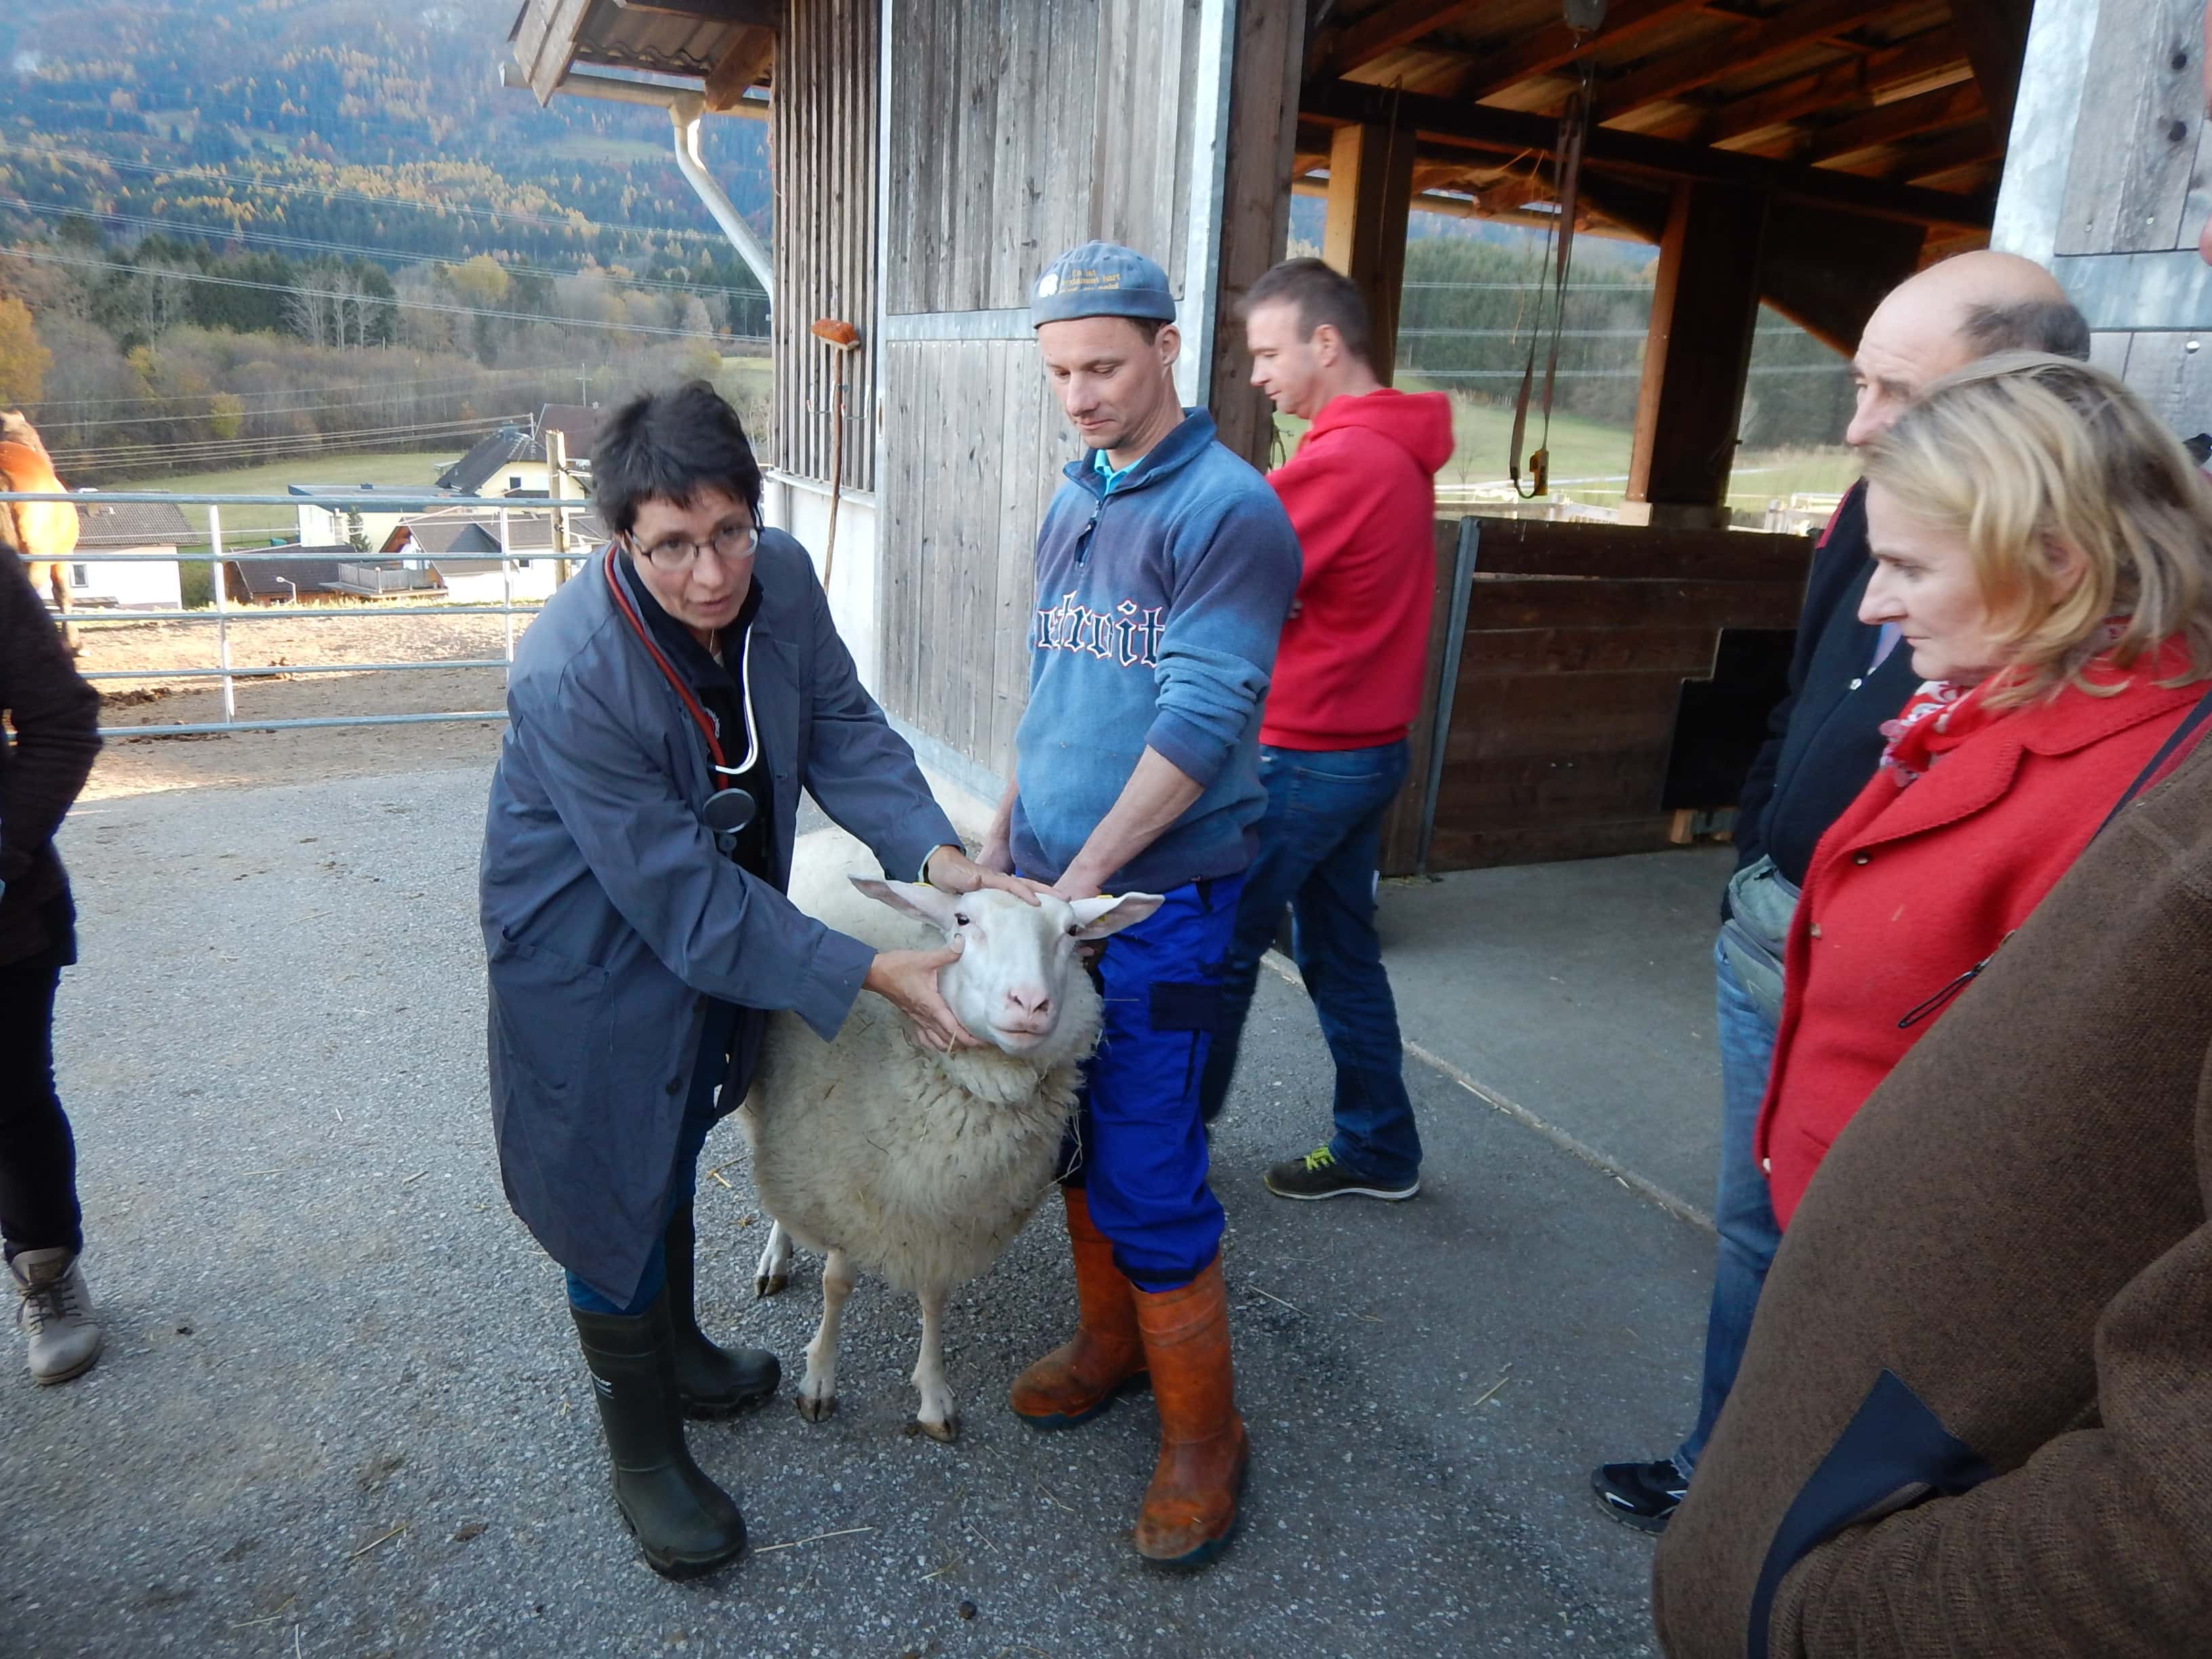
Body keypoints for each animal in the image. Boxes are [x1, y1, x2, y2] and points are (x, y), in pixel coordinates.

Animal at [739, 826, 1159, 1442]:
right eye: (962, 921)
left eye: (1072, 933)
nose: (1030, 1003)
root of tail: (827, 833)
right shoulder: (844, 1189)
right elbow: (837, 1285)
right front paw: (819, 1379)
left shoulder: (945, 1218)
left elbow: (934, 1297)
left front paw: (934, 1396)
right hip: (779, 1121)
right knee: (779, 1195)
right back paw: (777, 1252)